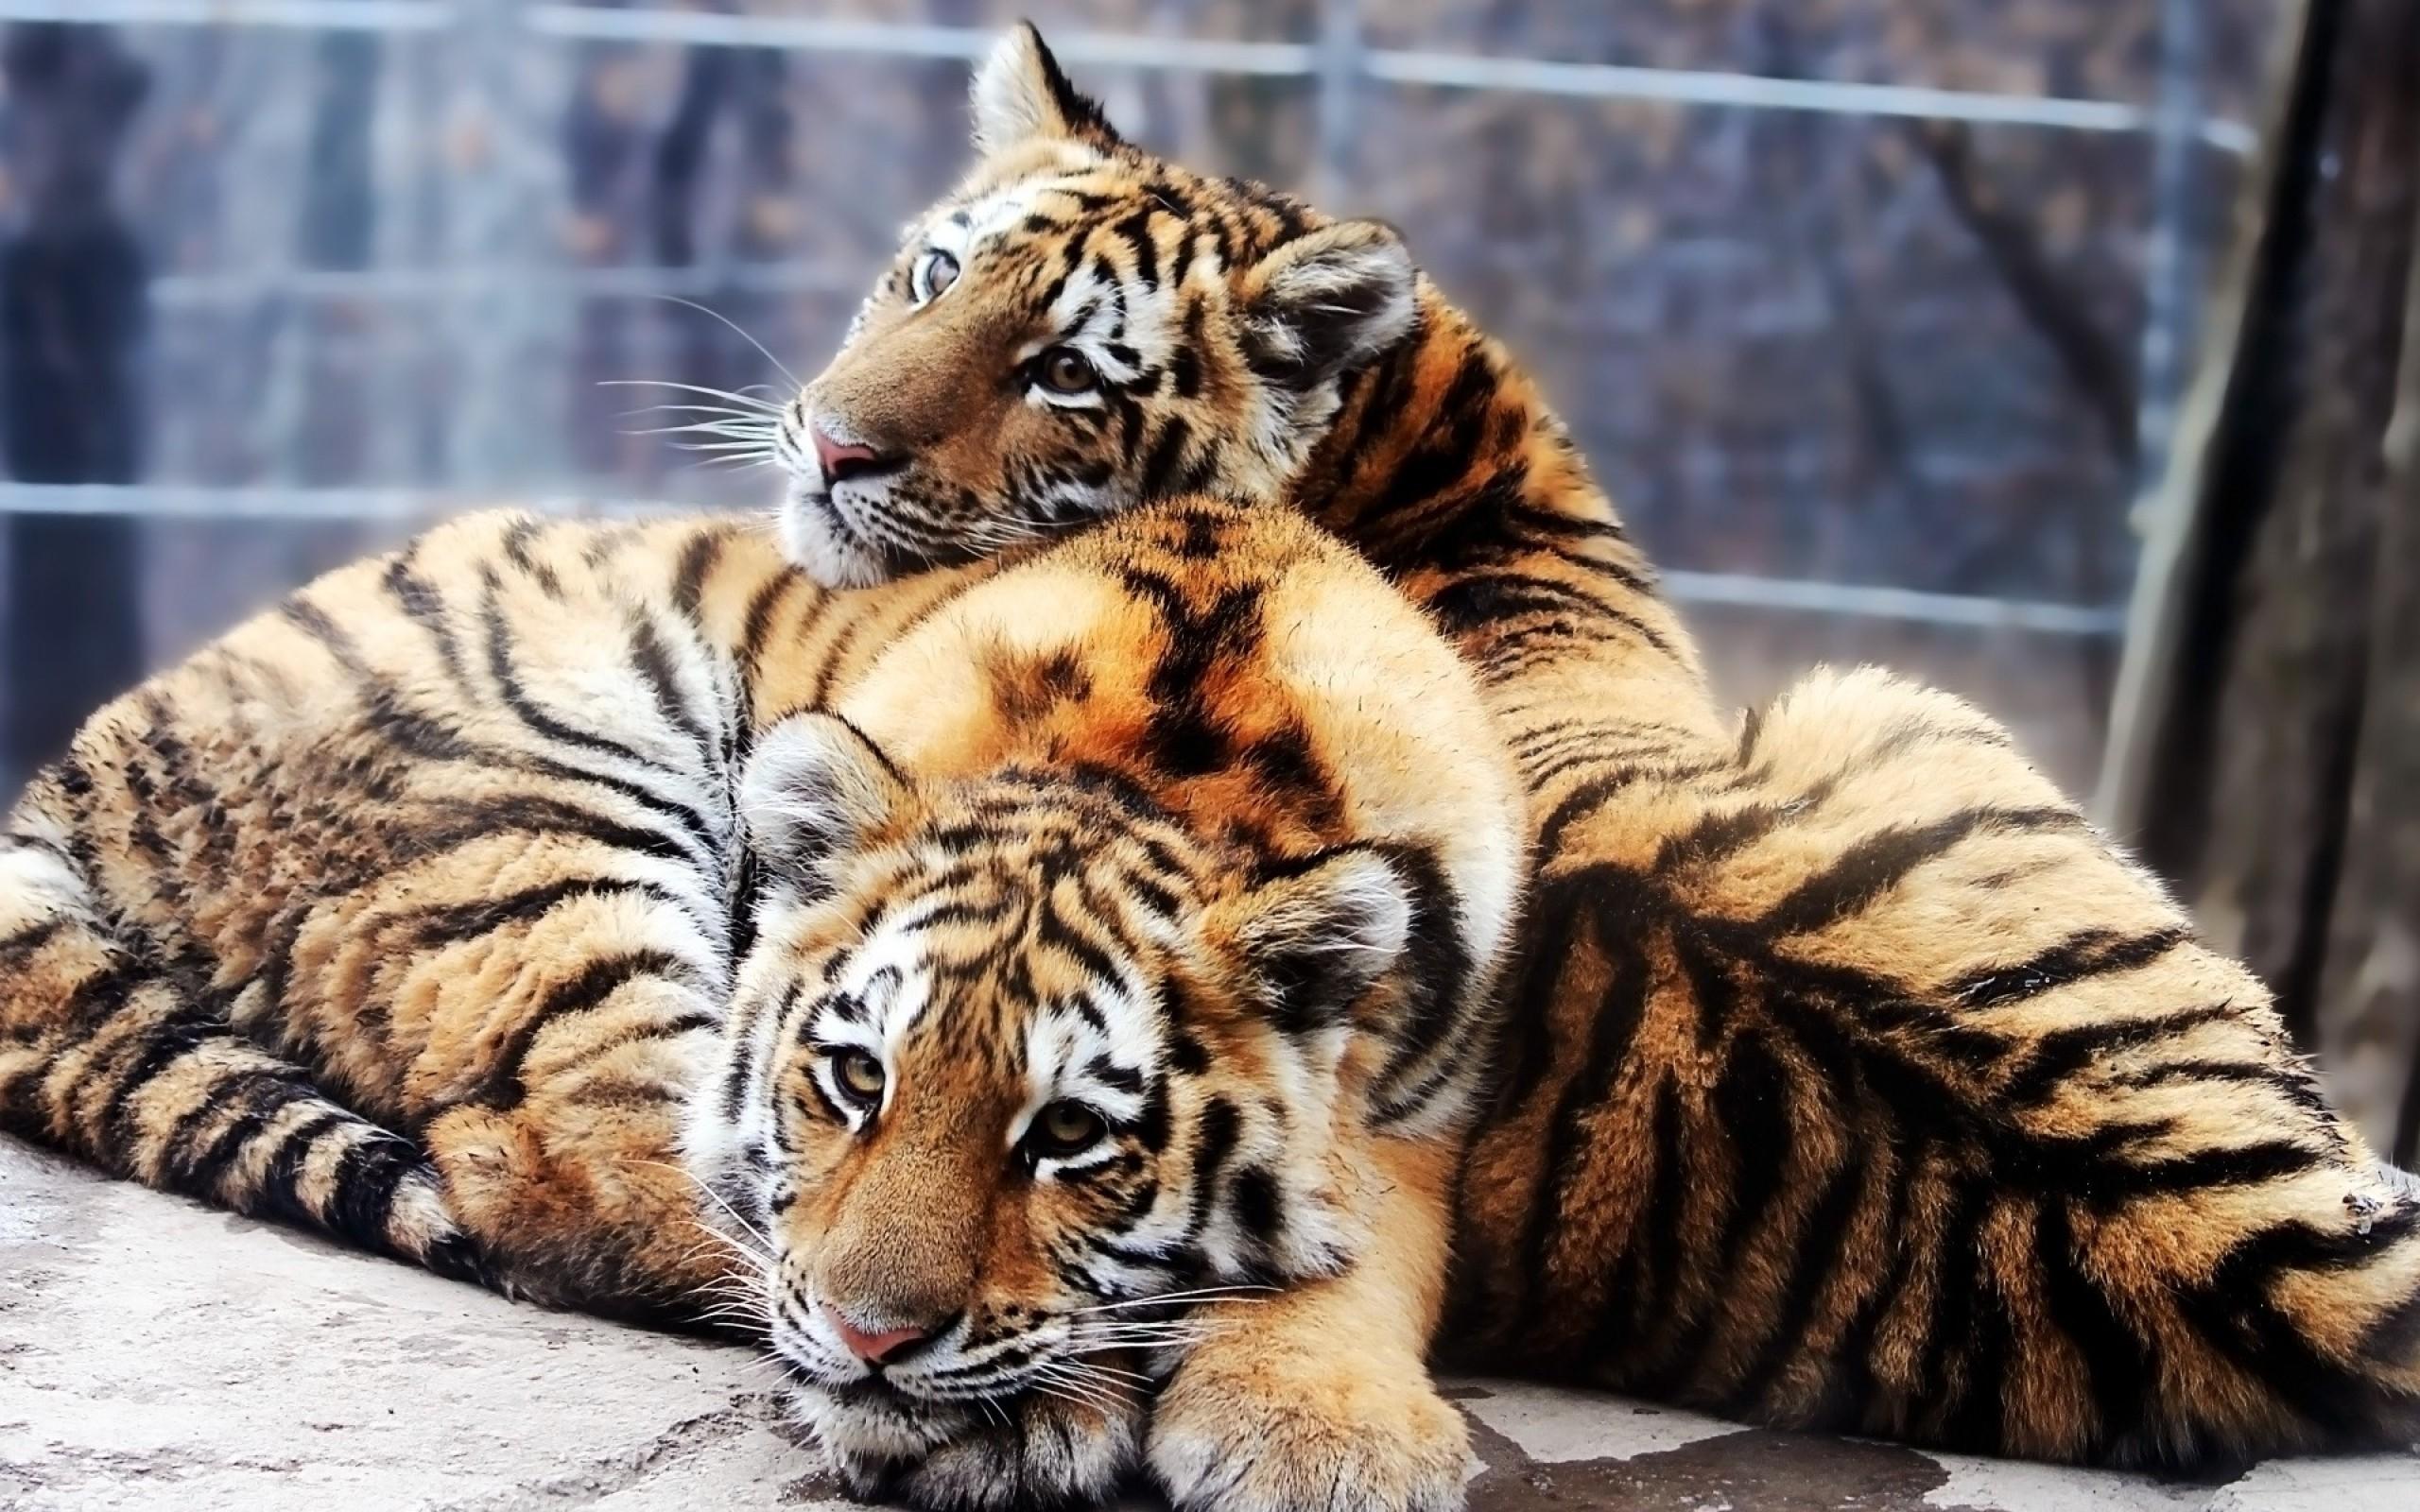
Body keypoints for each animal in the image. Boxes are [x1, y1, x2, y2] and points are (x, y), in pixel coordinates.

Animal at [1, 16, 2416, 1507]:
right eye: (924, 272)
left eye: (1068, 367)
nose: (824, 444)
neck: (1442, 460)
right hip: (553, 806)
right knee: (602, 1166)